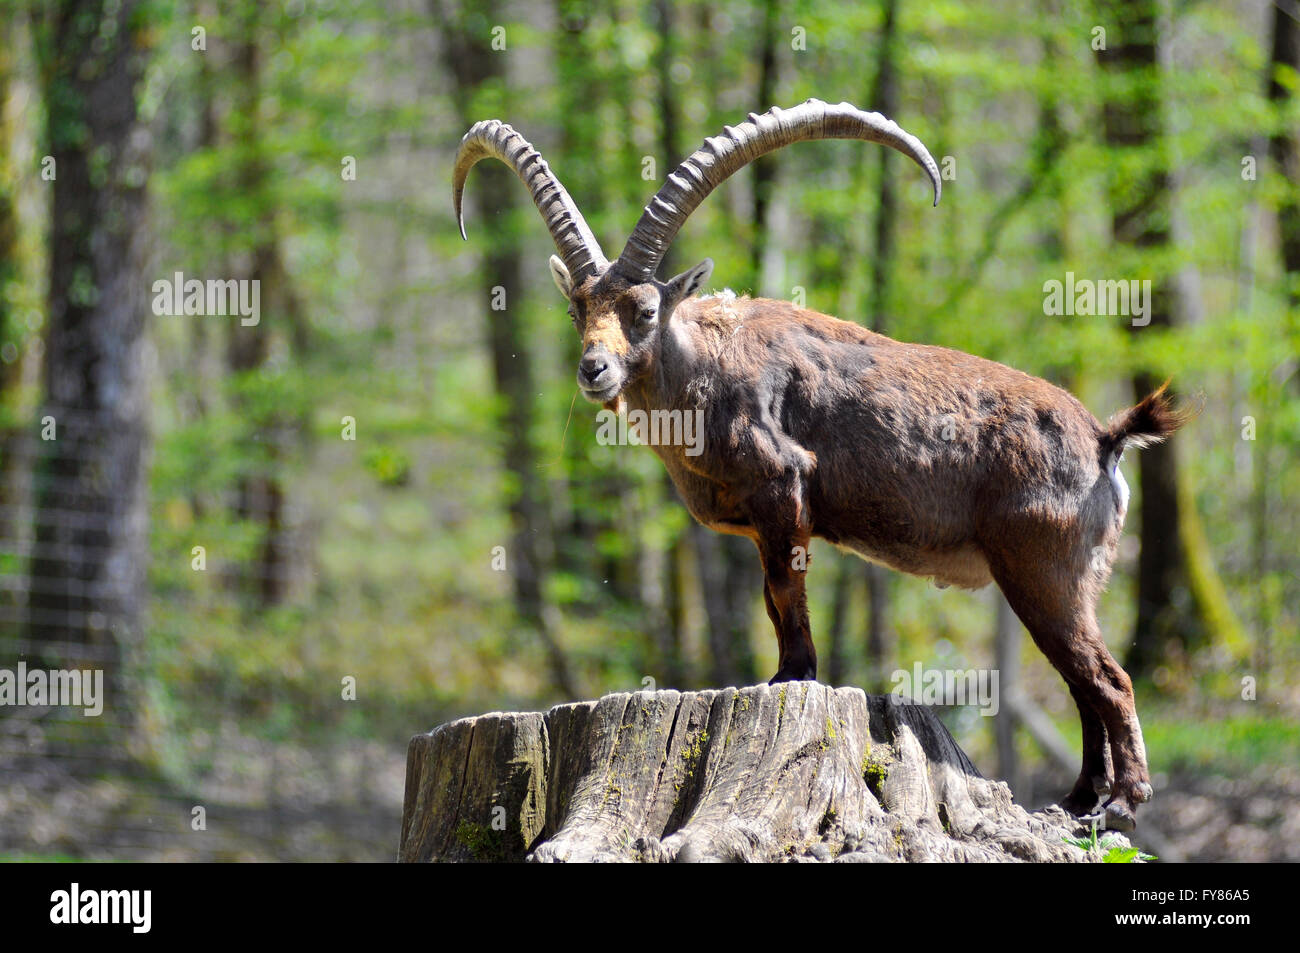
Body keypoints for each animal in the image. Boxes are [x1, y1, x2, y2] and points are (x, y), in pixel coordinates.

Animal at [453, 99, 1190, 831]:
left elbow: (785, 590)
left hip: (1042, 568)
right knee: (1082, 680)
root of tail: (1104, 438)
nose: (594, 369)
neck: (705, 375)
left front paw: (793, 677)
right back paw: (1078, 801)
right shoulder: (760, 523)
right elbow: (770, 597)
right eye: (577, 307)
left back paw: (1122, 801)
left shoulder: (785, 490)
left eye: (645, 309)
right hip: (1068, 579)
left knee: (1107, 679)